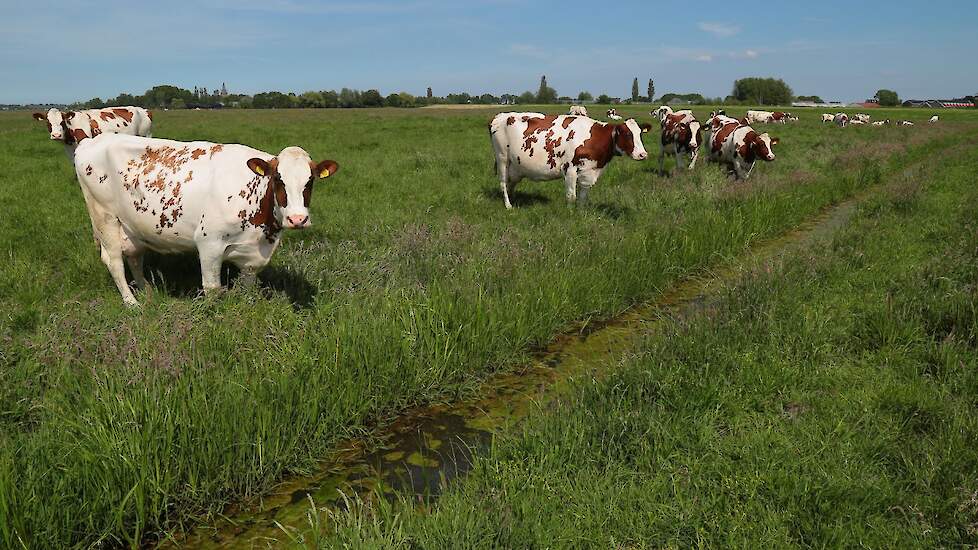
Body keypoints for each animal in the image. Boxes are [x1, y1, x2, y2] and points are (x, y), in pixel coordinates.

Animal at [72, 134, 339, 306]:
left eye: (310, 181)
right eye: (278, 179)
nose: (297, 219)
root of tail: (93, 139)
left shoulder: (253, 254)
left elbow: (248, 285)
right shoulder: (209, 243)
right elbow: (212, 288)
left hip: (132, 225)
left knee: (135, 257)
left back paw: (147, 291)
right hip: (104, 216)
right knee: (114, 261)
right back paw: (131, 303)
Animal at [489, 113, 651, 208]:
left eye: (640, 133)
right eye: (627, 134)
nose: (642, 154)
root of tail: (500, 116)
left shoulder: (589, 171)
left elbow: (583, 197)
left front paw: (581, 213)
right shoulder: (570, 169)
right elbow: (571, 196)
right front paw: (570, 214)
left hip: (516, 166)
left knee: (511, 183)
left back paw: (514, 200)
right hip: (502, 158)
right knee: (503, 183)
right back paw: (508, 205)